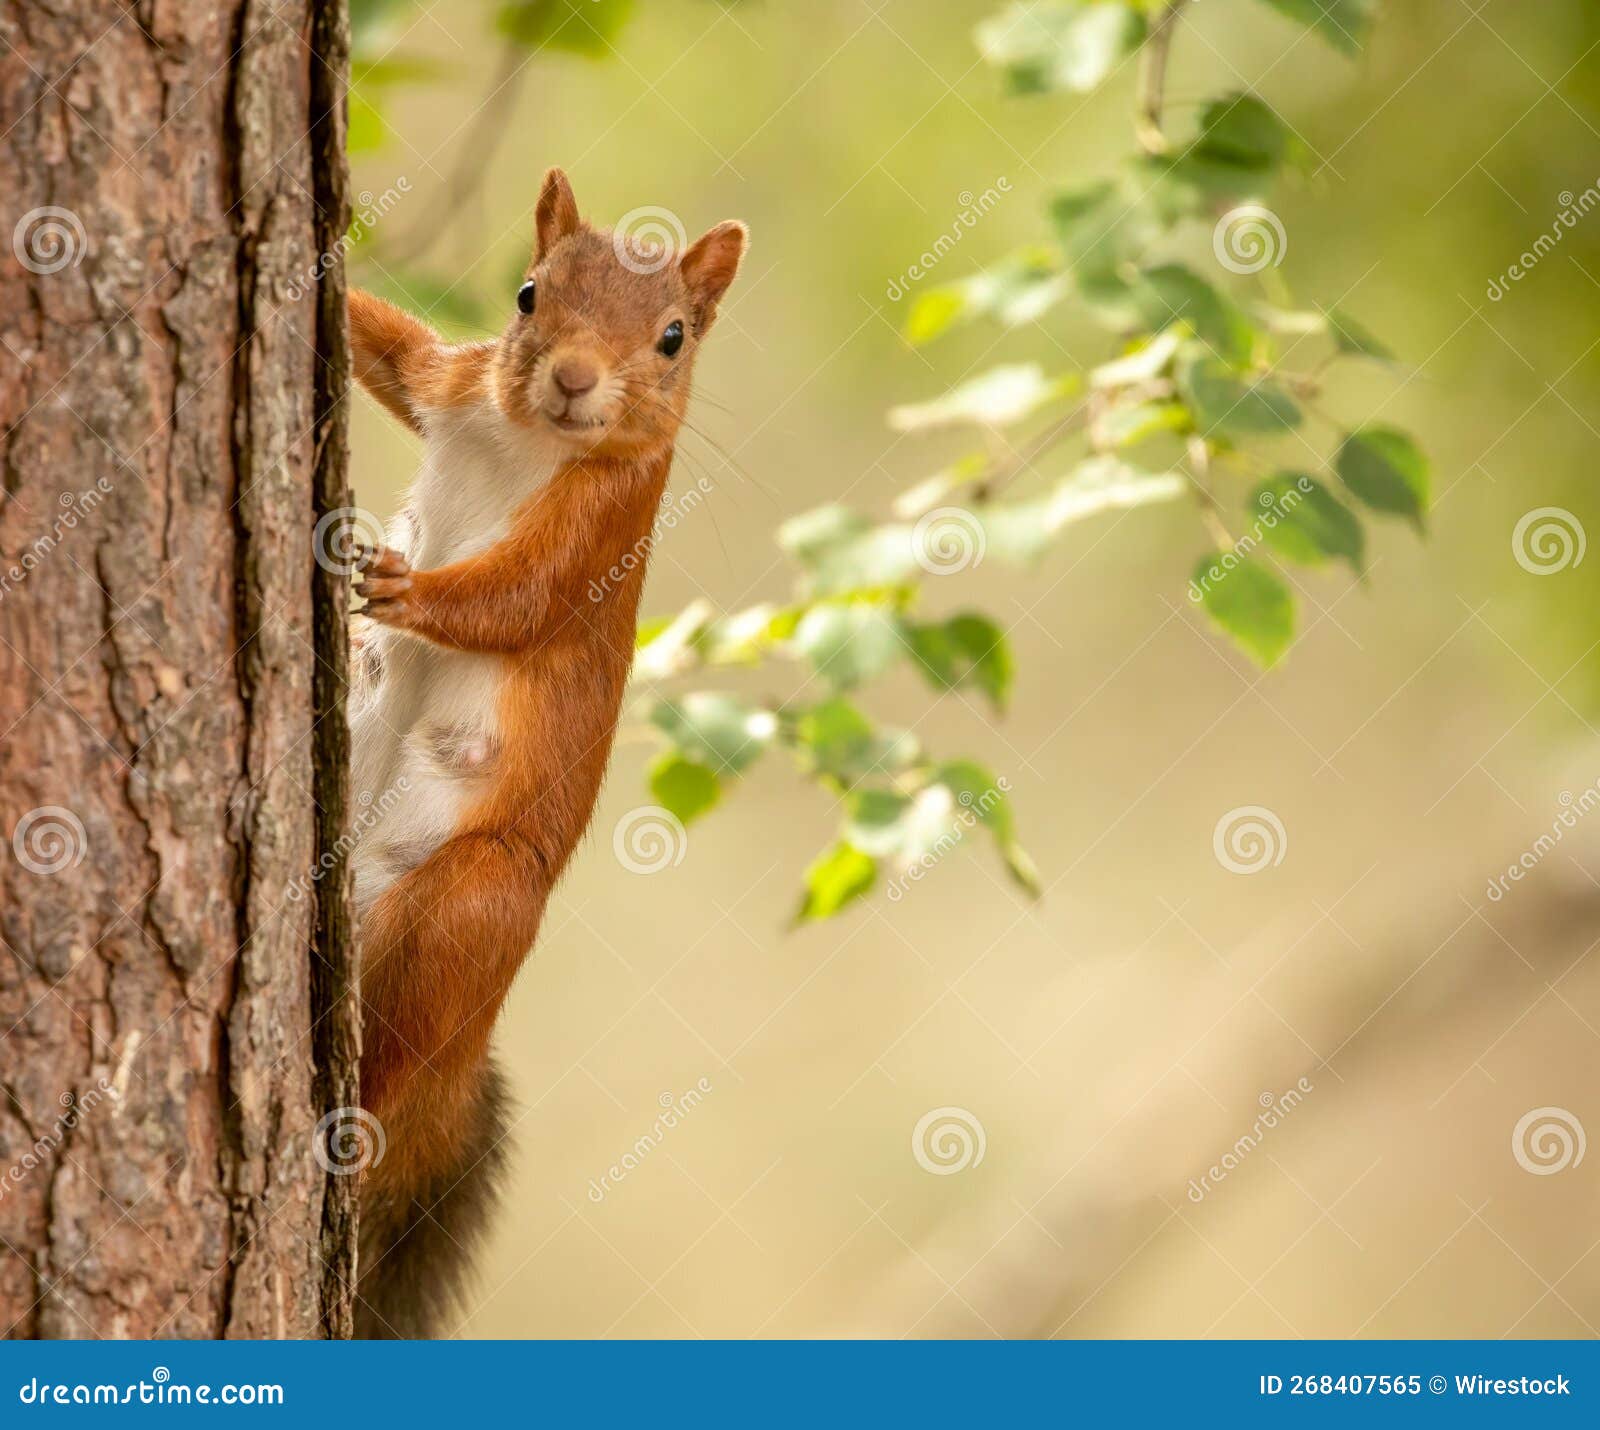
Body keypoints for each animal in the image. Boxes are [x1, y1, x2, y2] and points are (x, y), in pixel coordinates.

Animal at [342, 168, 746, 1338]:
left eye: (672, 337)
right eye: (529, 294)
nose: (572, 378)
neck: (528, 441)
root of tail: (457, 1075)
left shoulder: (604, 523)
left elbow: (513, 600)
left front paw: (404, 590)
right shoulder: (455, 384)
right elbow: (390, 349)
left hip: (476, 907)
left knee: (393, 1063)